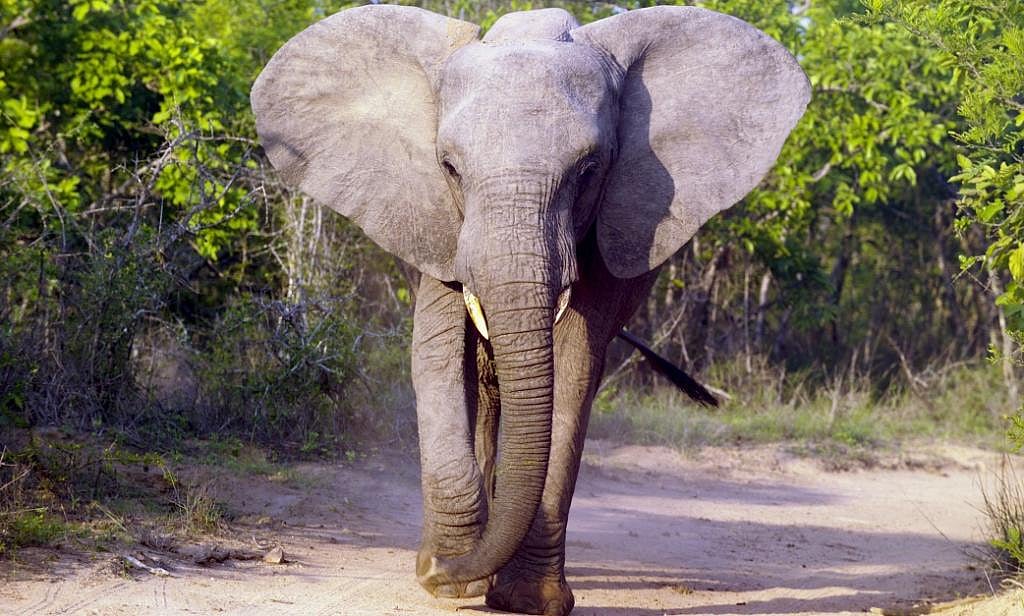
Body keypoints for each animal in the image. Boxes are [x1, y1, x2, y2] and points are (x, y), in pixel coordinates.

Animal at [251, 4, 809, 615]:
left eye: (589, 170)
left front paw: (523, 599)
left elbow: (571, 372)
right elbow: (438, 357)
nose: (432, 572)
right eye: (448, 167)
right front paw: (452, 581)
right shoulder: (439, 227)